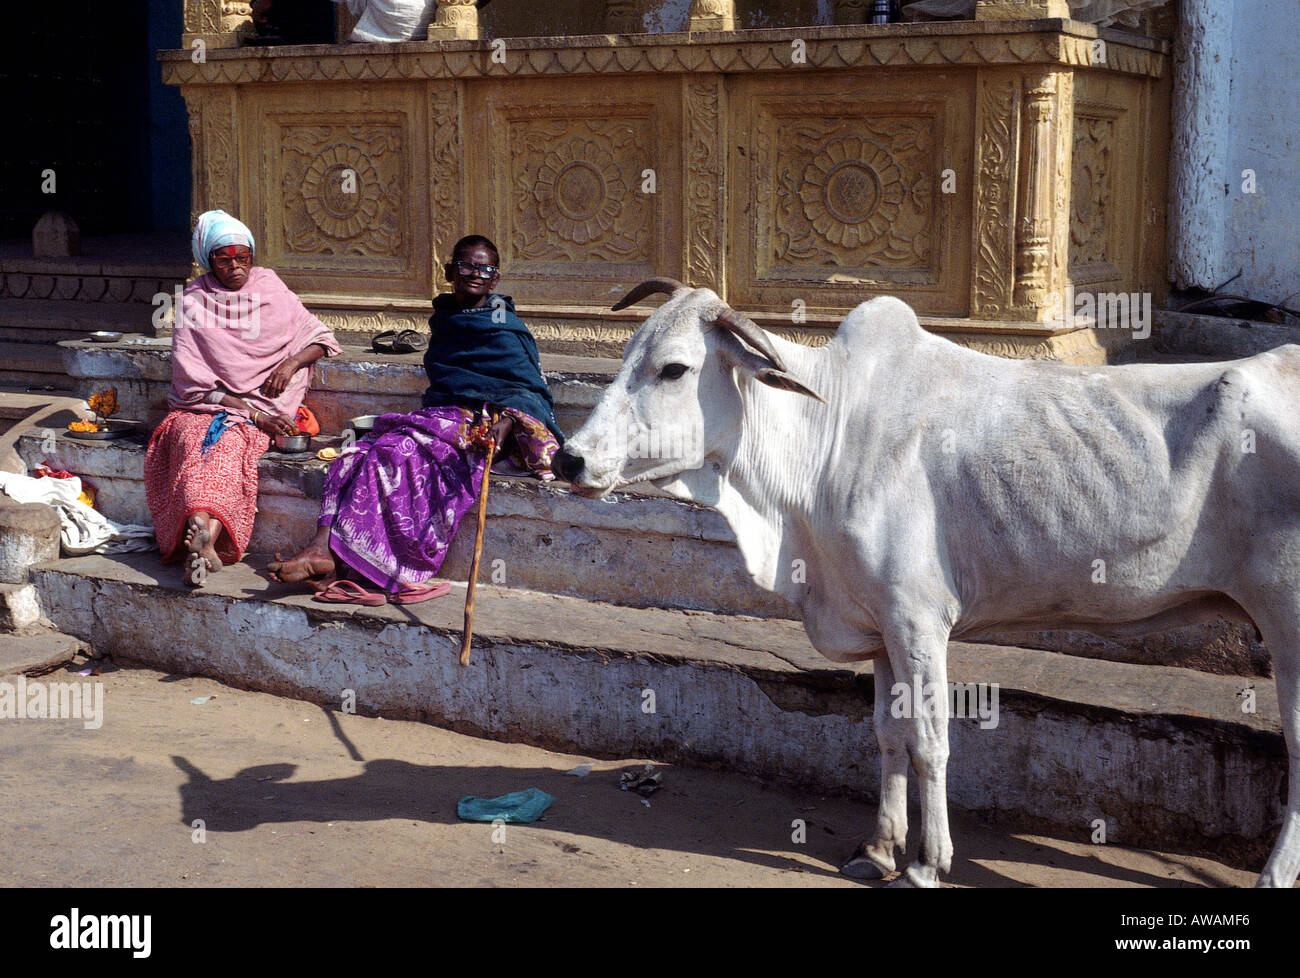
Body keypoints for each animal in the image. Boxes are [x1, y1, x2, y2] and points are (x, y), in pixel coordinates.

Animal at [554, 277, 1300, 888]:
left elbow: (931, 742)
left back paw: (1273, 876)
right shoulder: (879, 624)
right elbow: (888, 734)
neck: (821, 441)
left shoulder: (919, 621)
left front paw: (927, 863)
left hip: (1288, 624)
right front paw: (879, 849)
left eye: (674, 368)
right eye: (627, 353)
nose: (568, 458)